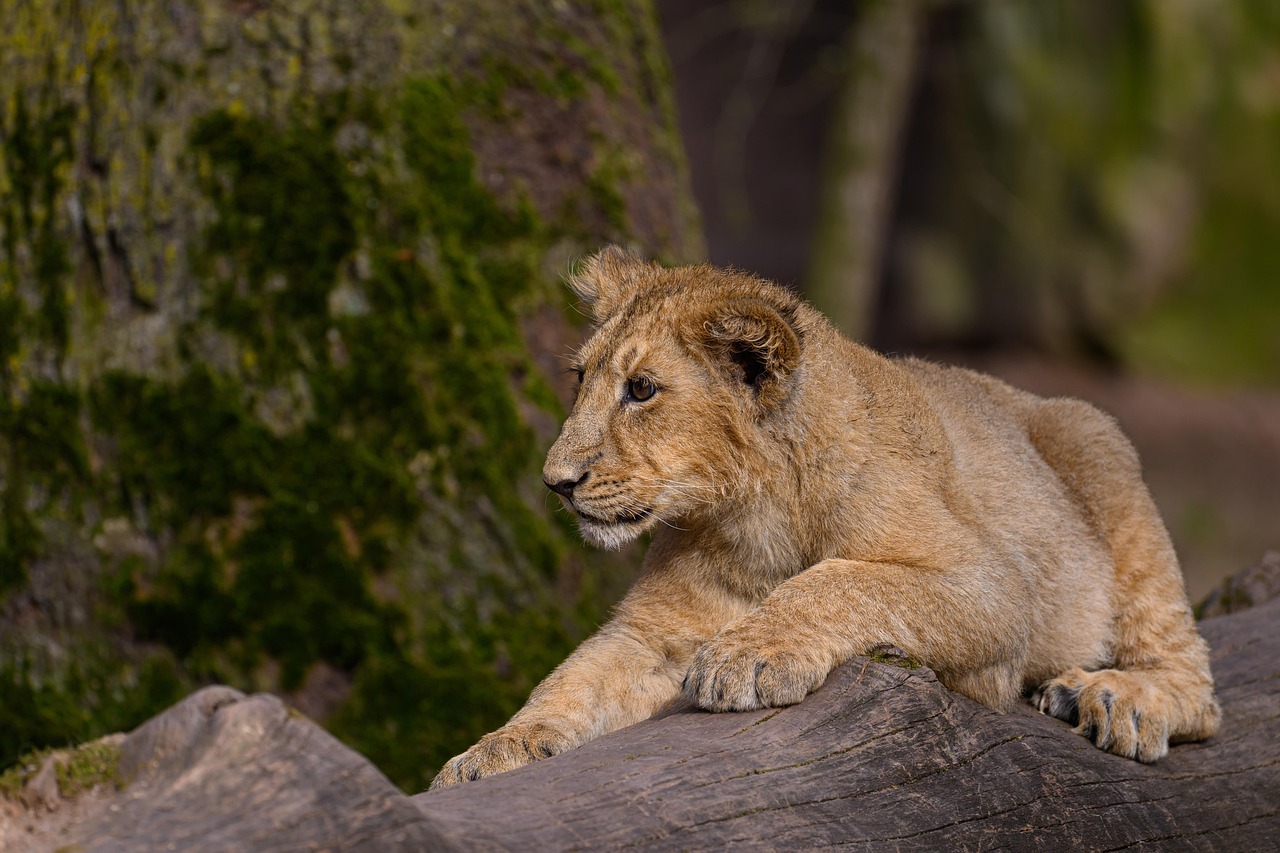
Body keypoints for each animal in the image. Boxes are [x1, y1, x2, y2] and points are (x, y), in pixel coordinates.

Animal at [430, 246, 1220, 788]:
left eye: (643, 389)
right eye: (580, 377)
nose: (556, 483)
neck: (754, 513)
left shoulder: (991, 584)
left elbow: (843, 576)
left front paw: (750, 653)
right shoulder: (653, 633)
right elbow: (572, 680)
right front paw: (487, 754)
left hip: (1096, 439)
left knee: (1199, 688)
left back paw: (1113, 695)